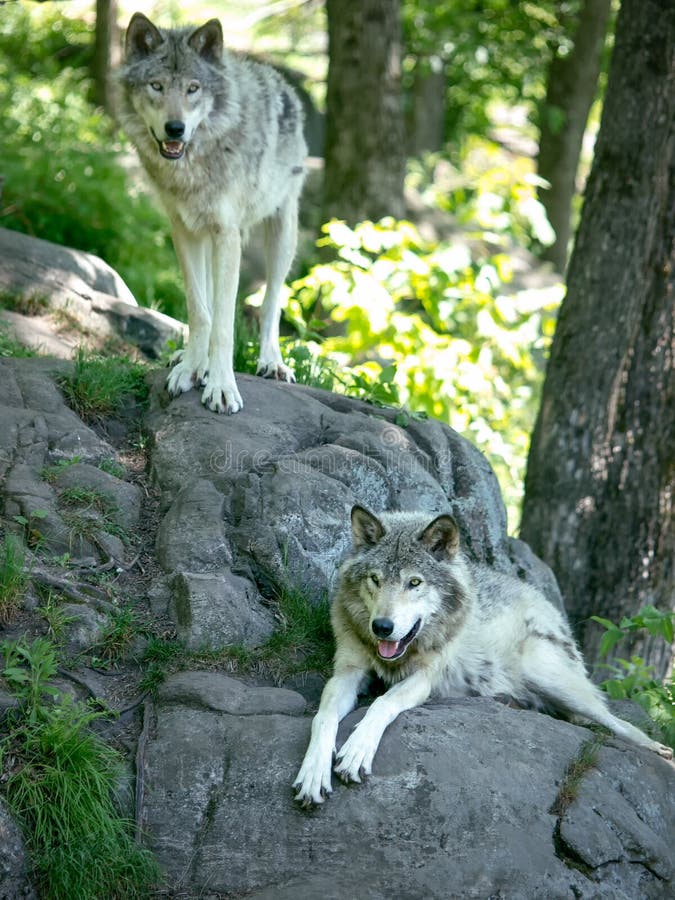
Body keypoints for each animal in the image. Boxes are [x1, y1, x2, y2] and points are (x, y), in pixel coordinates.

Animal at [117, 13, 307, 414]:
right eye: (157, 86)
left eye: (193, 89)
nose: (175, 128)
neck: (193, 166)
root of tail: (279, 79)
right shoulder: (183, 229)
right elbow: (200, 310)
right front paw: (191, 368)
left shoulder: (227, 233)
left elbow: (223, 323)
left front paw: (221, 386)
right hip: (204, 237)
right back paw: (192, 362)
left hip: (282, 234)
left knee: (270, 305)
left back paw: (272, 362)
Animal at [293, 506, 672, 807]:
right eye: (375, 579)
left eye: (414, 583)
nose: (382, 627)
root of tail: (544, 601)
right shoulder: (346, 673)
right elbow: (322, 718)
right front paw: (313, 773)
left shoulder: (423, 680)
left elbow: (381, 704)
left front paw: (357, 750)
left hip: (546, 676)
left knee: (616, 722)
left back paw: (660, 752)